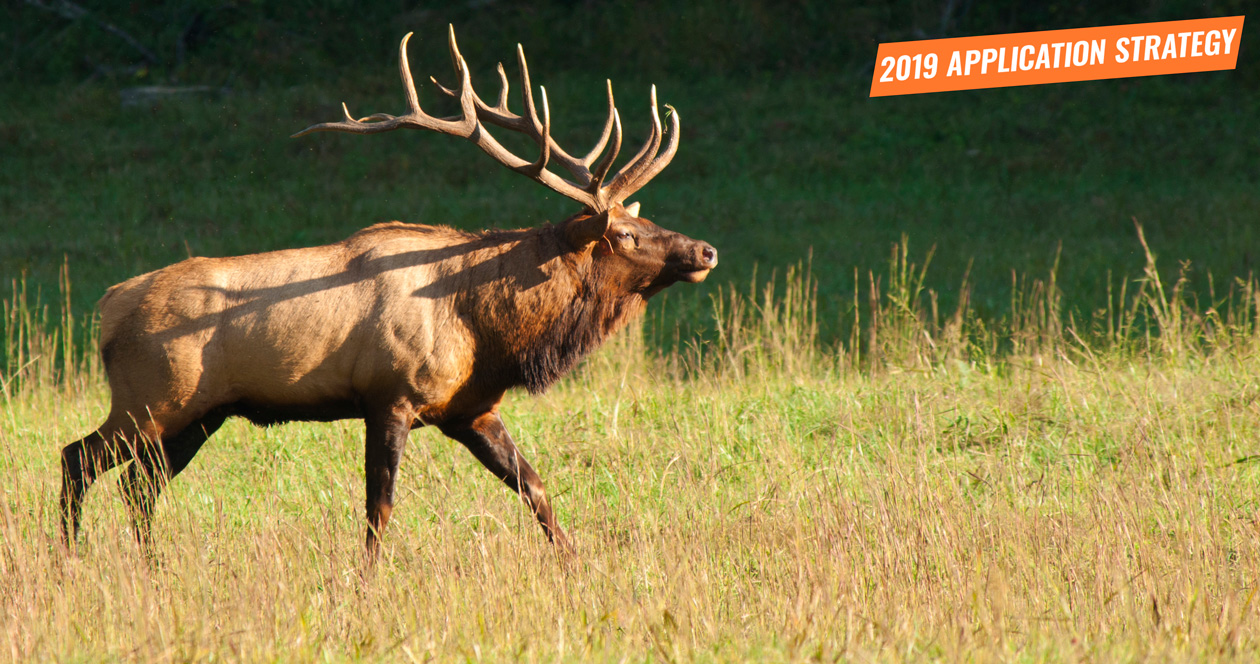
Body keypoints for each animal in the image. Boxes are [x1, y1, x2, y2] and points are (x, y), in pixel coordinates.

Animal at [59, 27, 716, 559]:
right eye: (626, 233)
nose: (706, 251)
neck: (485, 328)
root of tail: (107, 306)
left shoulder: (471, 408)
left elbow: (535, 488)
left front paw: (577, 566)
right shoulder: (390, 394)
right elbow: (380, 509)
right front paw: (364, 584)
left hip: (198, 415)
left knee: (138, 485)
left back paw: (149, 565)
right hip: (150, 400)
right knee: (79, 459)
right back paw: (69, 559)